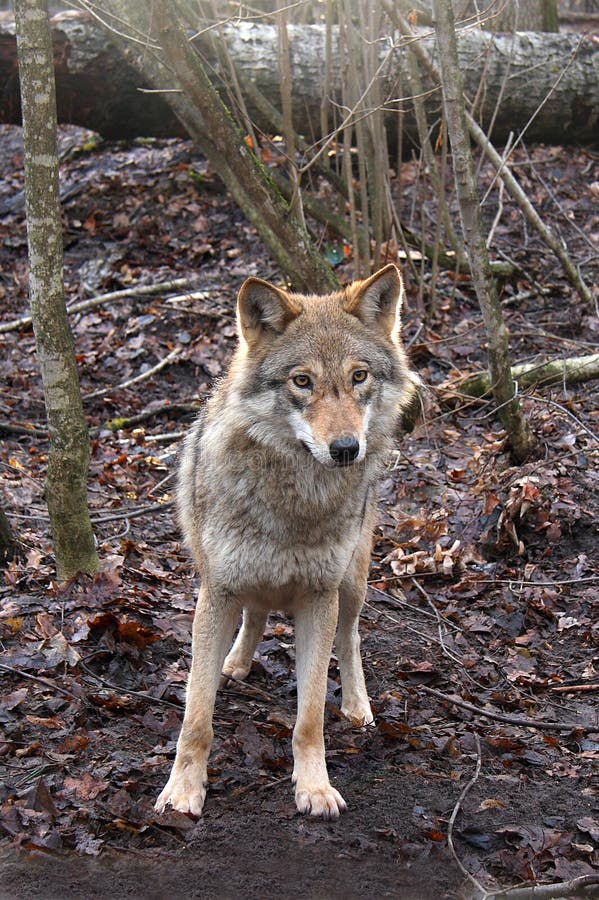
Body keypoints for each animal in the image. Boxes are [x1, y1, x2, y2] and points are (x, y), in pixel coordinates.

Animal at [155, 264, 419, 819]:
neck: (295, 501)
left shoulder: (319, 597)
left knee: (351, 638)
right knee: (253, 616)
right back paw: (233, 664)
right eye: (303, 381)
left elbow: (310, 715)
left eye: (359, 376)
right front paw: (183, 791)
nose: (346, 449)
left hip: (351, 583)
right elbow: (196, 714)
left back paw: (358, 707)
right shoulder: (216, 591)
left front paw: (314, 788)